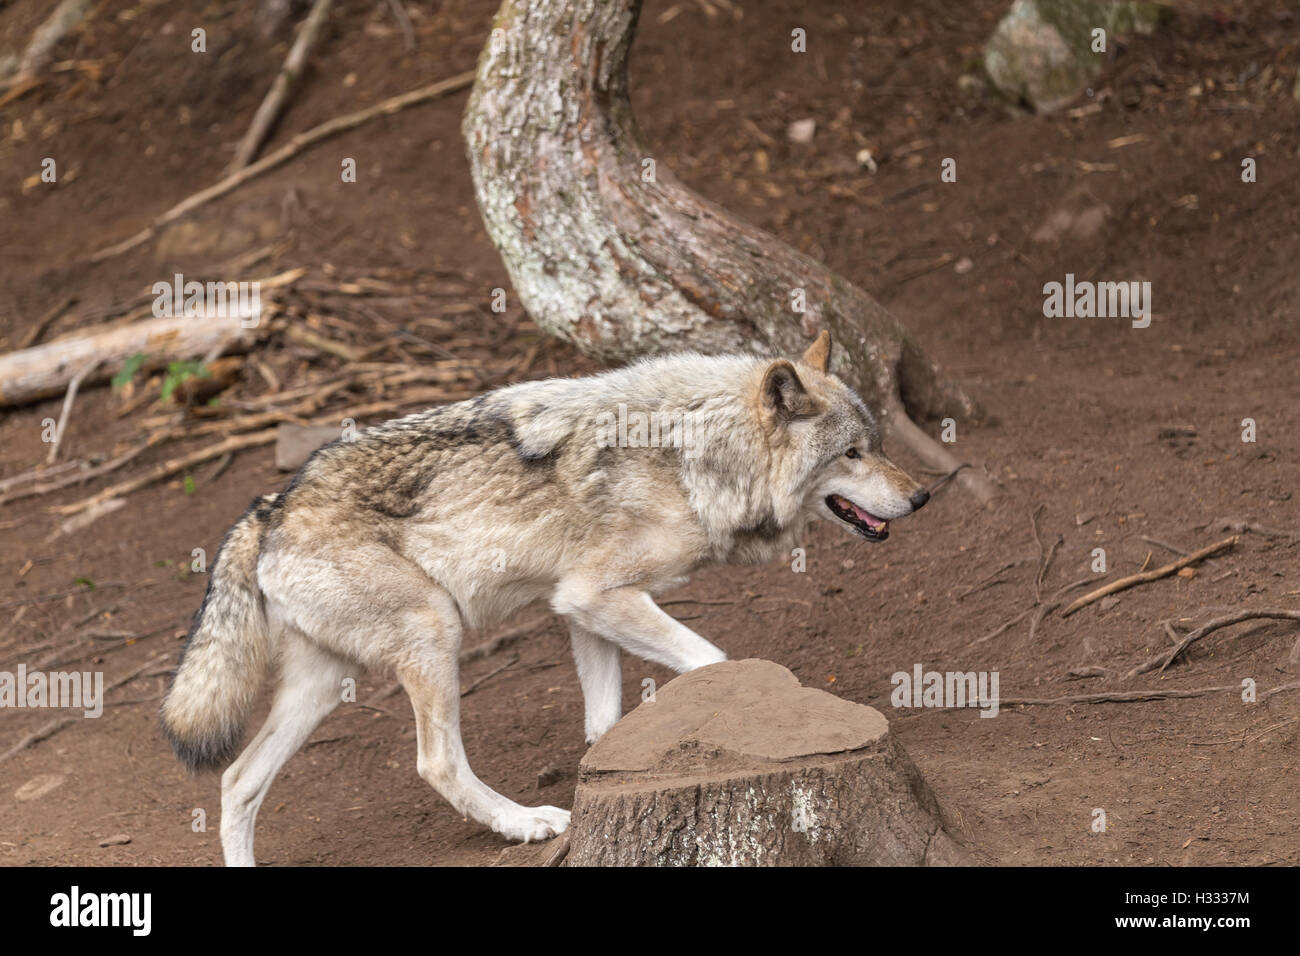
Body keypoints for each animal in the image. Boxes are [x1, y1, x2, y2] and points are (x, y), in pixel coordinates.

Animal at [160, 331, 931, 865]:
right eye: (852, 454)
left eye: (877, 444)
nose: (922, 496)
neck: (692, 455)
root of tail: (268, 507)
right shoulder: (596, 595)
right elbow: (714, 661)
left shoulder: (578, 606)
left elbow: (605, 723)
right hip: (433, 630)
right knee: (436, 763)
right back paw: (527, 822)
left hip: (325, 684)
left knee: (236, 782)